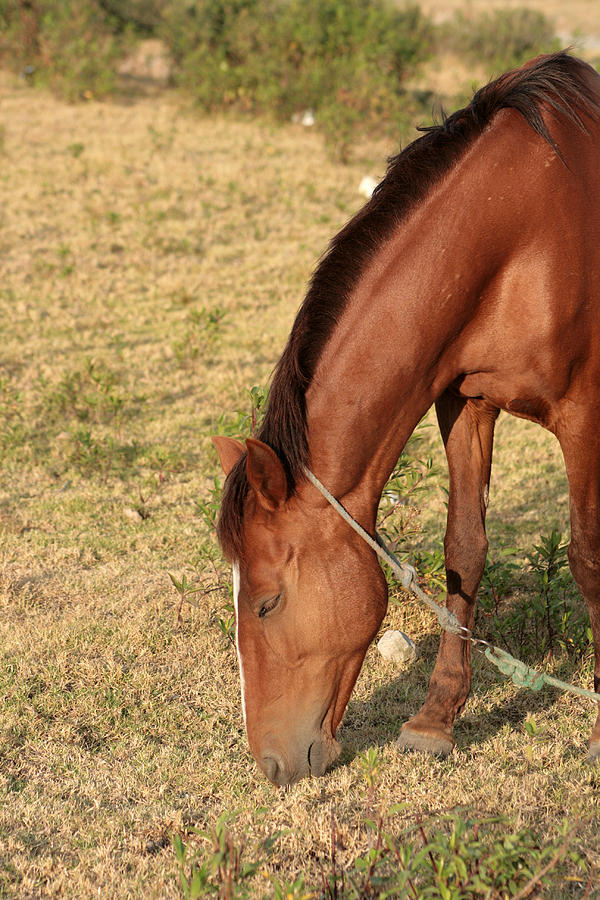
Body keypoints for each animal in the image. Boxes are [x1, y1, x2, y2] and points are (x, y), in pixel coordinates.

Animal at [213, 52, 600, 786]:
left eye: (269, 602)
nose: (269, 764)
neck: (523, 230)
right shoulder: (464, 401)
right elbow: (464, 549)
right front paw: (434, 719)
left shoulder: (583, 413)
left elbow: (587, 556)